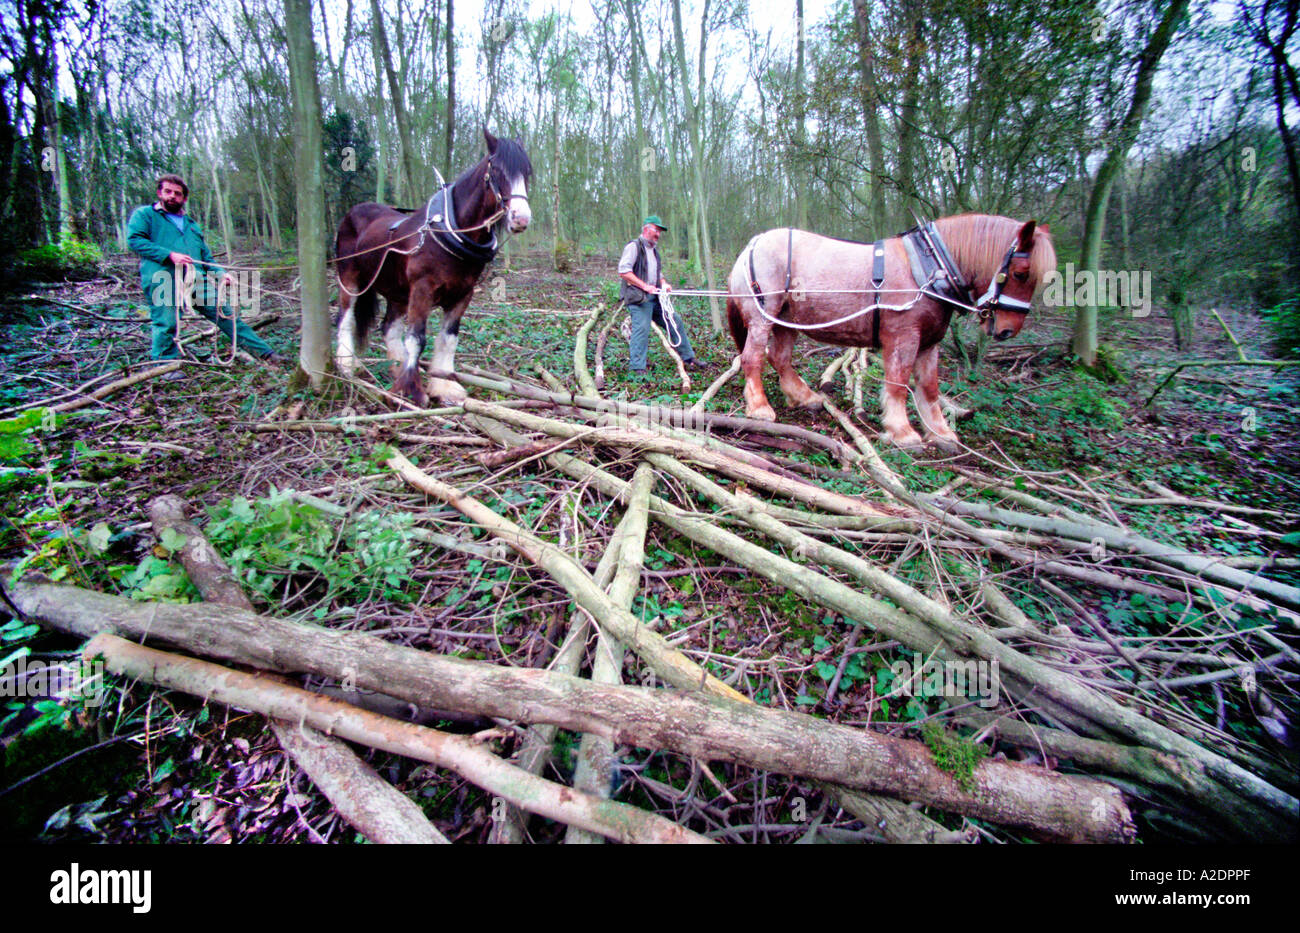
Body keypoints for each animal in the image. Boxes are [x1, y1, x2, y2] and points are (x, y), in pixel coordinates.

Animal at [334, 129, 532, 406]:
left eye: (527, 172)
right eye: (496, 171)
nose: (521, 219)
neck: (449, 232)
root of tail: (353, 212)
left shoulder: (463, 294)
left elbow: (448, 339)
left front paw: (443, 386)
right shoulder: (422, 289)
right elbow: (416, 339)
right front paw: (410, 391)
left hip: (397, 291)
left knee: (389, 328)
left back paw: (396, 367)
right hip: (350, 277)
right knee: (346, 317)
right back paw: (347, 364)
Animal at [725, 214, 1056, 450]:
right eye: (1020, 273)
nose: (1008, 330)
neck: (929, 268)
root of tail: (752, 245)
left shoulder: (930, 342)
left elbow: (929, 388)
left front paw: (940, 433)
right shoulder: (903, 337)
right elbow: (898, 383)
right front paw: (903, 432)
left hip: (787, 320)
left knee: (779, 358)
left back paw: (804, 397)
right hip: (763, 317)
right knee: (753, 358)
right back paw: (759, 407)